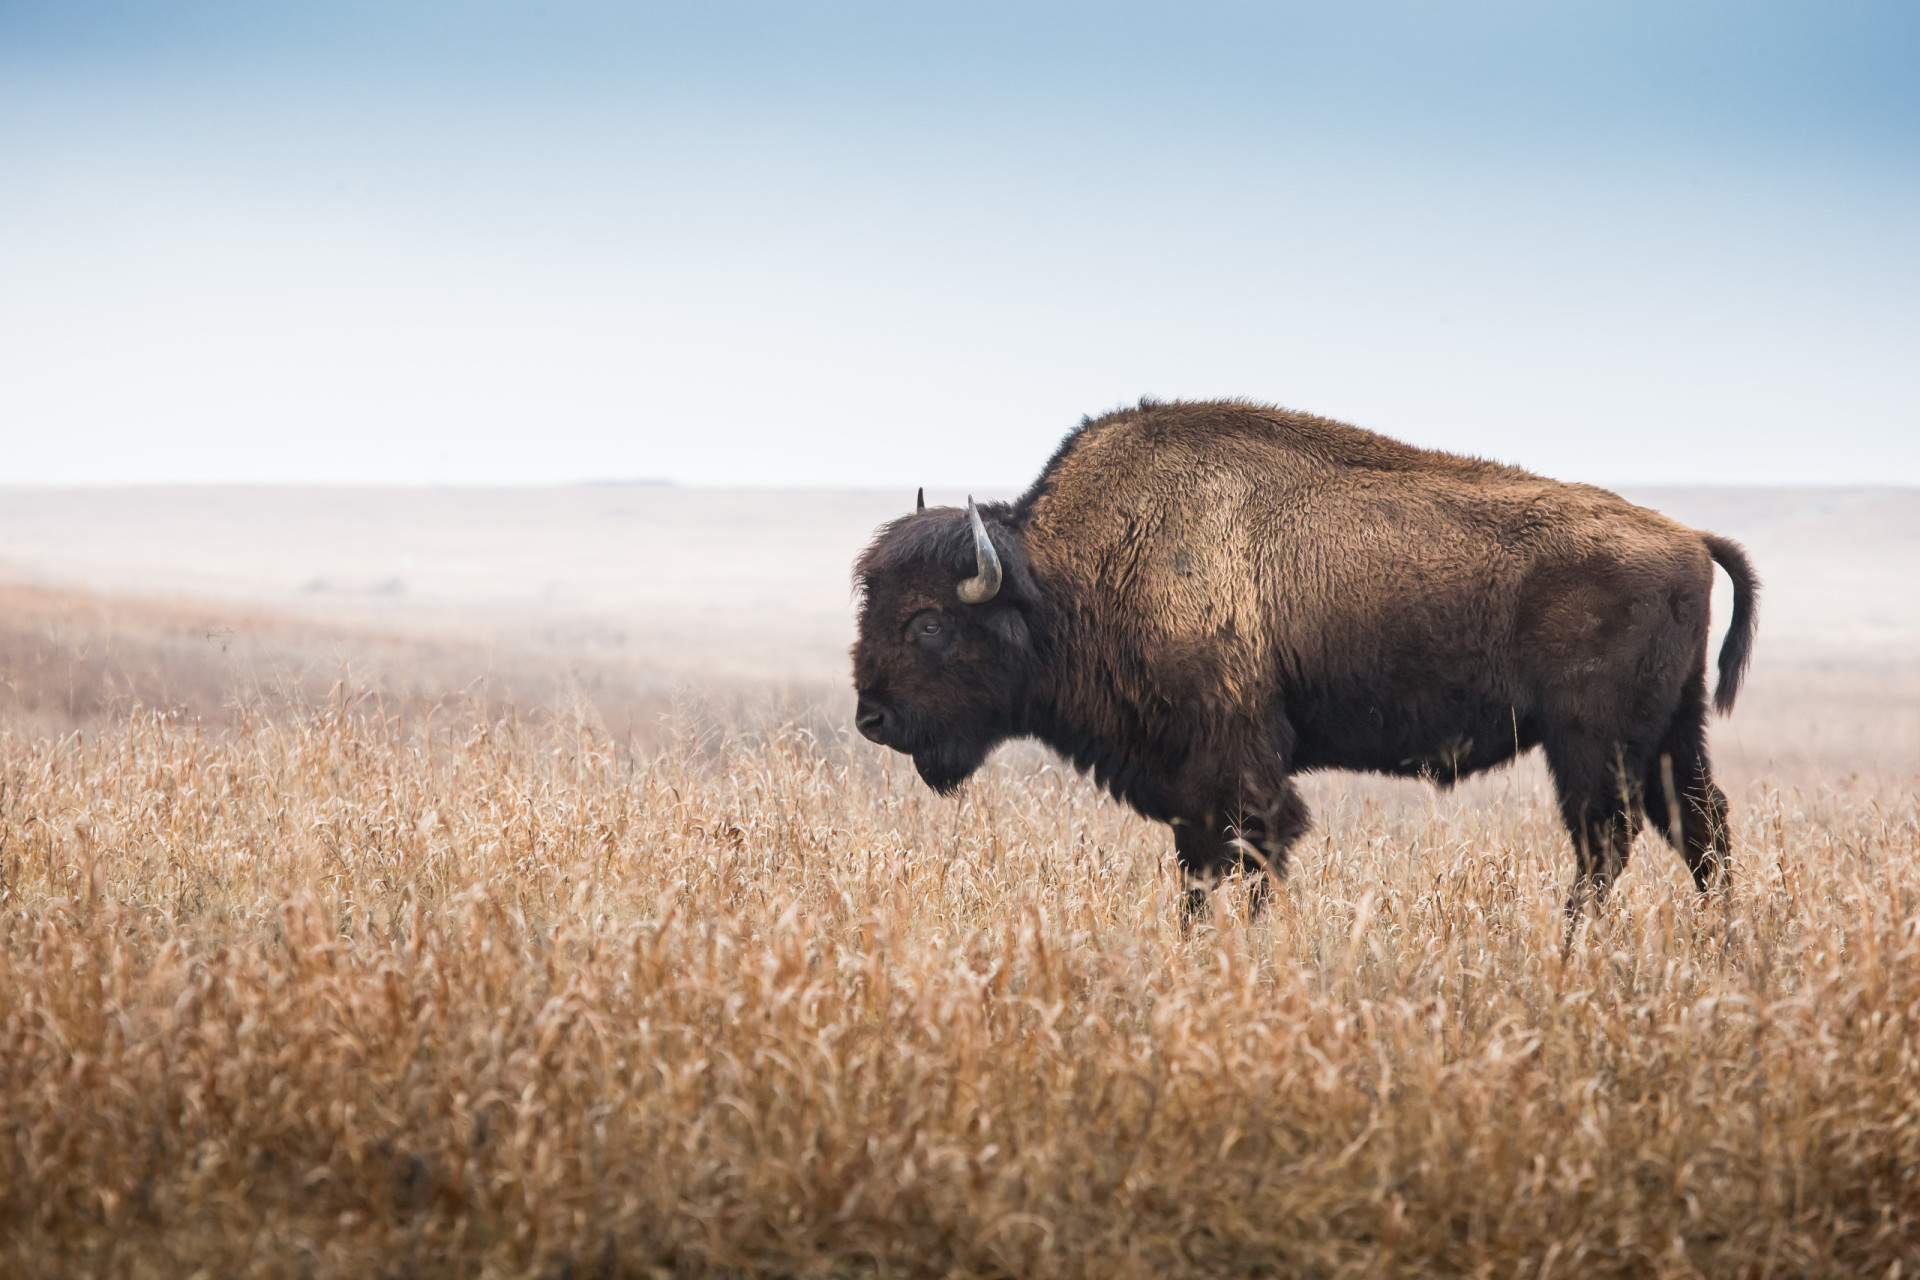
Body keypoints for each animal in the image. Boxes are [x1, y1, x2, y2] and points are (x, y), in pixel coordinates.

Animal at [852, 399, 1757, 916]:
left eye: (929, 623)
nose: (871, 718)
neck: (1067, 575)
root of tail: (1688, 537)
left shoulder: (1238, 771)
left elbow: (1252, 858)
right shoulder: (1190, 789)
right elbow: (1198, 875)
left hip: (1592, 743)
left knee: (1607, 842)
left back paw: (1574, 948)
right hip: (1670, 736)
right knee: (1701, 831)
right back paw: (1720, 946)